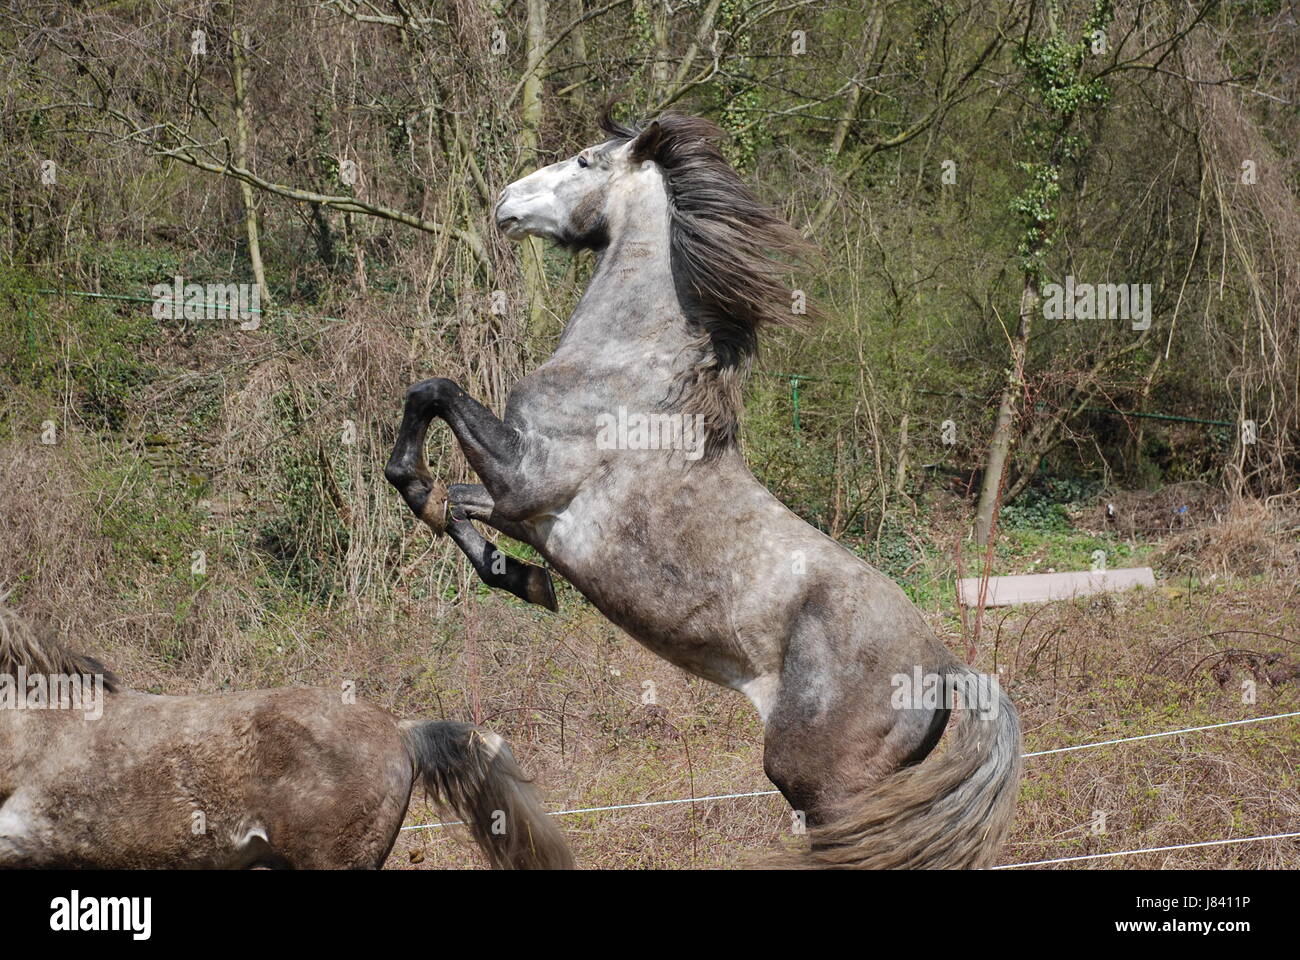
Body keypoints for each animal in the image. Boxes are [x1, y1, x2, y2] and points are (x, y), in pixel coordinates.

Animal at [384, 108, 1021, 868]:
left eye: (584, 160)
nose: (506, 201)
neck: (629, 369)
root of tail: (947, 666)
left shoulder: (525, 482)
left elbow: (433, 398)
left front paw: (467, 530)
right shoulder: (521, 510)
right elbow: (455, 500)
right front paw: (521, 578)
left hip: (823, 783)